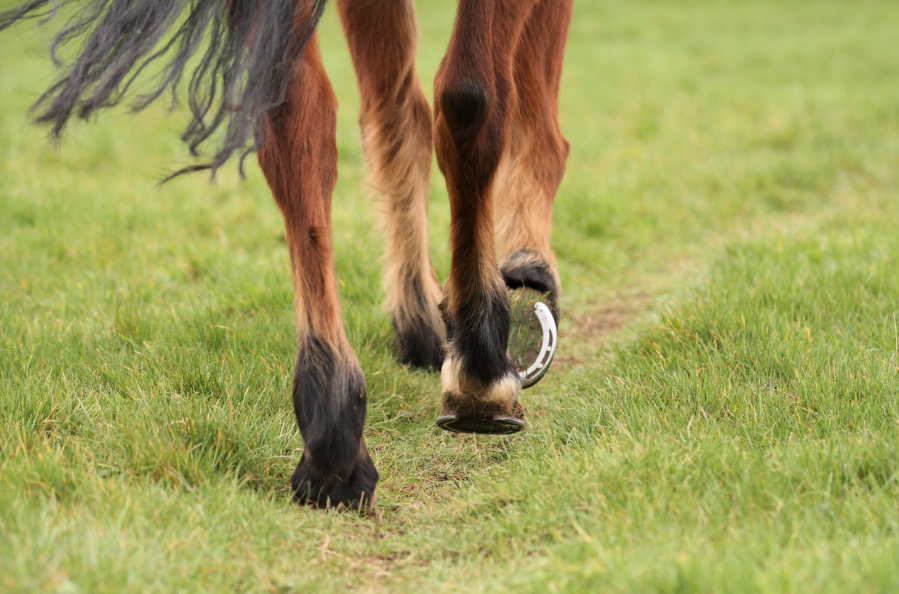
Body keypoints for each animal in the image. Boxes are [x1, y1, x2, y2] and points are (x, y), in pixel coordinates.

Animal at [0, 0, 572, 511]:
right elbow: (500, 110)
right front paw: (522, 277)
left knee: (310, 114)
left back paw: (336, 417)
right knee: (468, 98)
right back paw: (469, 357)